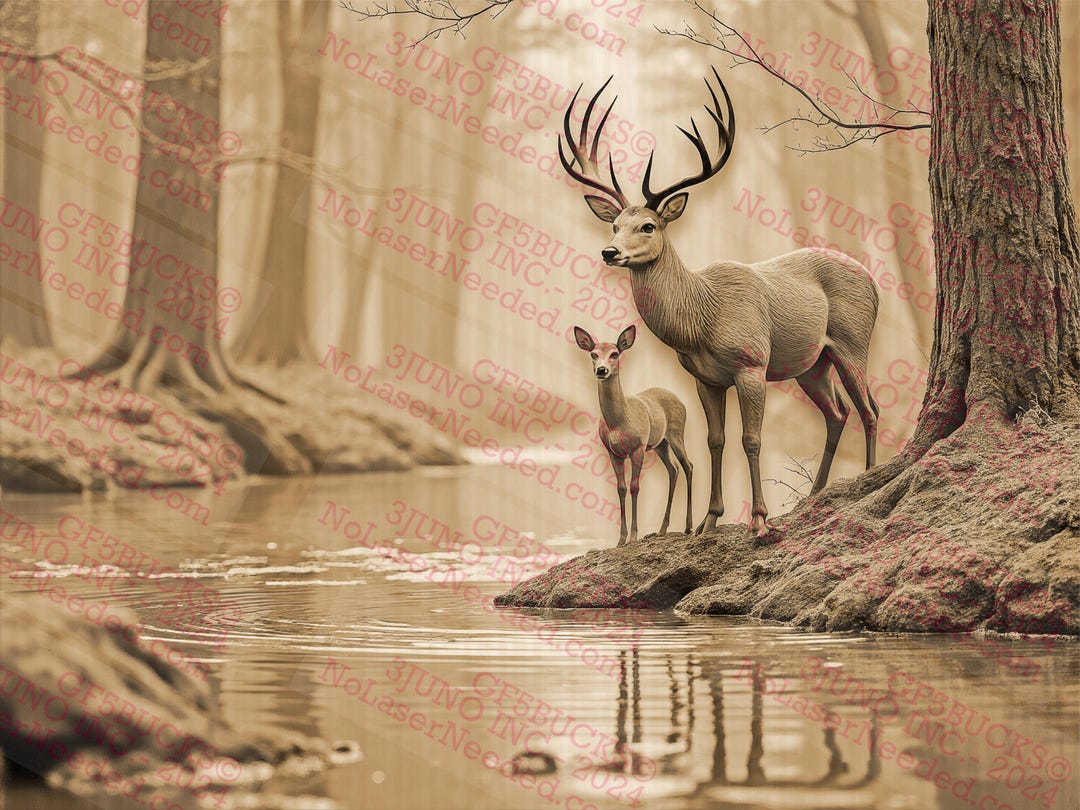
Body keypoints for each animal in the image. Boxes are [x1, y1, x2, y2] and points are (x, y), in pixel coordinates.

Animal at [575, 324, 694, 546]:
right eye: (594, 354)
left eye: (615, 353)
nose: (601, 370)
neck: (619, 421)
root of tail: (680, 399)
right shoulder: (613, 452)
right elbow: (621, 488)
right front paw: (620, 539)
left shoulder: (638, 447)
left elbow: (635, 487)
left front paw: (633, 535)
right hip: (660, 444)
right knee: (673, 469)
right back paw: (662, 529)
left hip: (676, 433)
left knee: (688, 465)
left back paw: (689, 527)